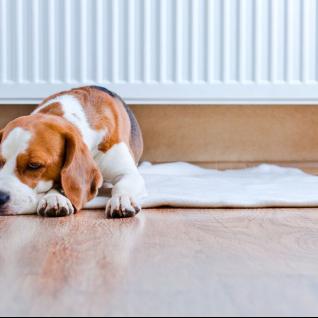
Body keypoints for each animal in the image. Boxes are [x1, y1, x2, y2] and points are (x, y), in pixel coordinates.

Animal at [0, 85, 145, 217]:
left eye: (34, 165)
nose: (0, 197)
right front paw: (54, 198)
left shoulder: (128, 173)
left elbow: (121, 186)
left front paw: (121, 199)